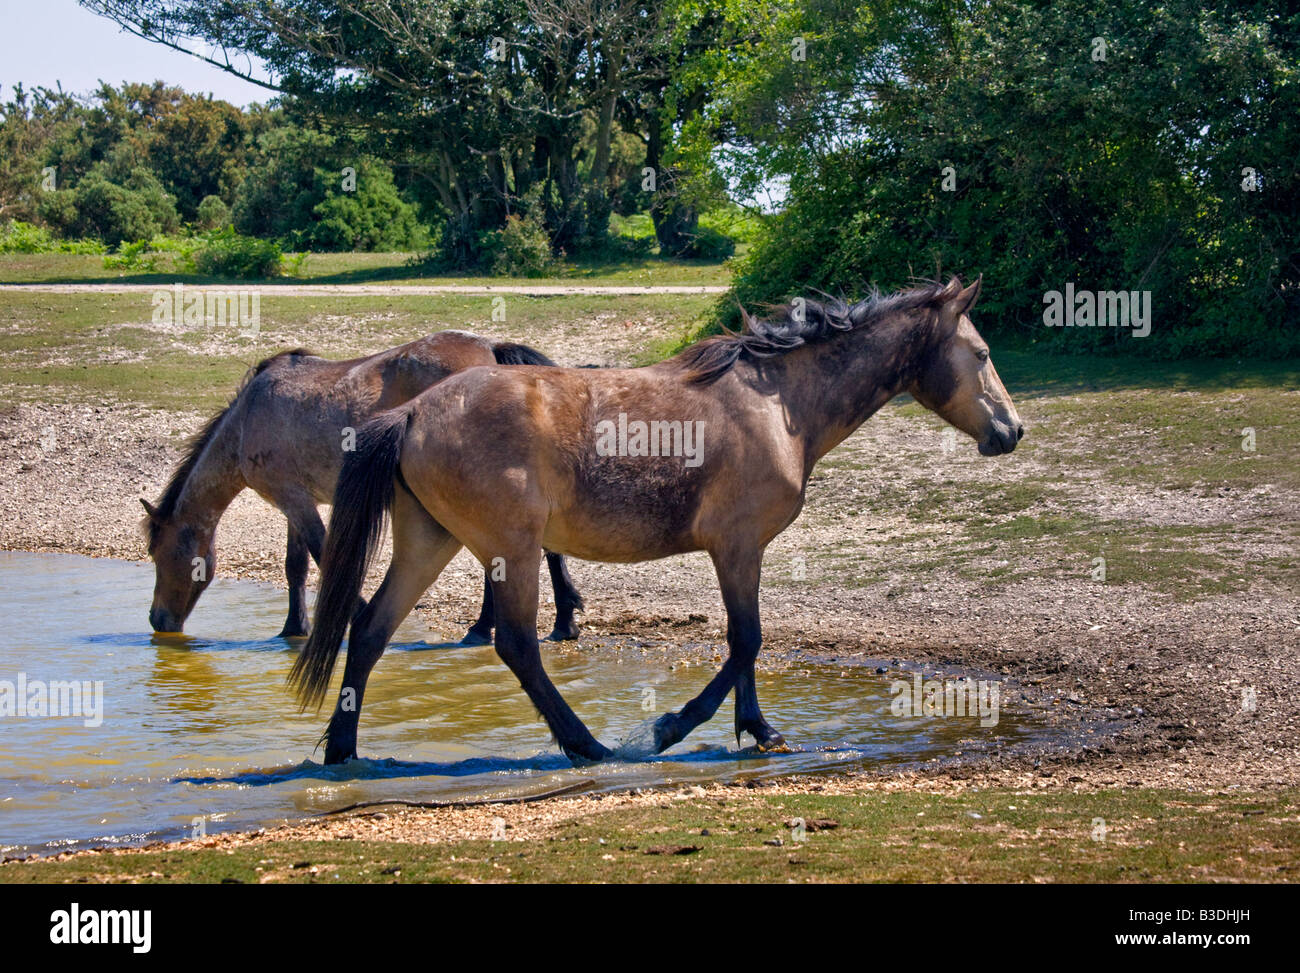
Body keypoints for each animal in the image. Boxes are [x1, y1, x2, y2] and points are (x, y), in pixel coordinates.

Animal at [141, 331, 584, 642]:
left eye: (161, 555)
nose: (157, 620)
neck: (247, 418)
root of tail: (491, 349)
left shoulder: (293, 500)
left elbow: (322, 554)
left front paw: (354, 617)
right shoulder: (297, 501)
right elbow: (295, 566)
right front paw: (293, 628)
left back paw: (489, 627)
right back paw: (557, 622)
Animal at [290, 276, 1024, 764]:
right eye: (984, 354)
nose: (1013, 430)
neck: (780, 405)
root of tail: (412, 412)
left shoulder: (742, 552)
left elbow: (745, 643)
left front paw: (759, 729)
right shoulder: (737, 546)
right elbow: (747, 640)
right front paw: (676, 726)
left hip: (430, 542)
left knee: (369, 628)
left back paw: (342, 752)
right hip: (510, 551)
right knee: (517, 646)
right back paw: (586, 744)